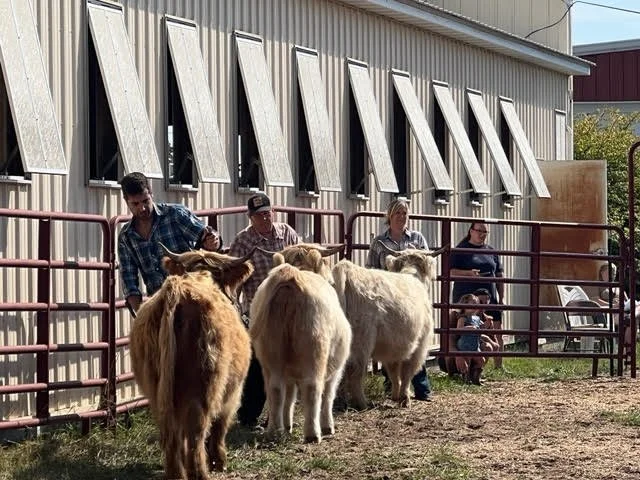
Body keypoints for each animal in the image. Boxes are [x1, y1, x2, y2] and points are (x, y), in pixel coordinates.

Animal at [129, 248, 254, 479]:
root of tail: (176, 291)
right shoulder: (232, 392)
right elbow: (220, 425)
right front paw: (219, 461)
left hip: (157, 389)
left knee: (171, 432)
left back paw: (176, 472)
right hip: (204, 387)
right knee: (197, 431)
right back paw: (199, 472)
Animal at [249, 262, 352, 443]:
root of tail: (291, 275)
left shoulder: (288, 374)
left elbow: (289, 398)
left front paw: (287, 426)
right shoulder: (335, 371)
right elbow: (328, 396)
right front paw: (328, 426)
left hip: (271, 356)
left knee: (275, 390)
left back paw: (275, 431)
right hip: (314, 354)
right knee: (312, 389)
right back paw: (313, 433)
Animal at [332, 247, 442, 410]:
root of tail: (347, 269)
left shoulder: (392, 345)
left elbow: (393, 371)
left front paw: (396, 396)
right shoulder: (419, 345)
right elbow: (407, 372)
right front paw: (405, 399)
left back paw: (340, 401)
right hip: (361, 341)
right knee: (354, 371)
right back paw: (362, 403)